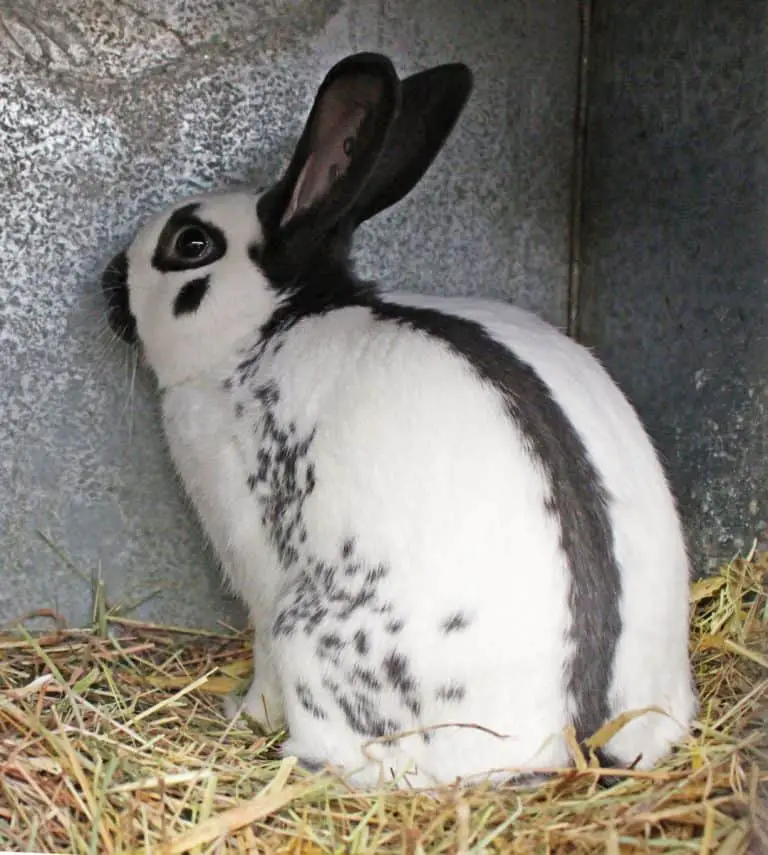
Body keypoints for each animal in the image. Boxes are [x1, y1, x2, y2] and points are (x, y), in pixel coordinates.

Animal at [101, 51, 697, 789]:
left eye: (190, 242)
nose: (107, 279)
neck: (265, 329)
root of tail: (582, 739)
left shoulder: (257, 567)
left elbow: (260, 661)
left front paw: (240, 716)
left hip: (307, 633)